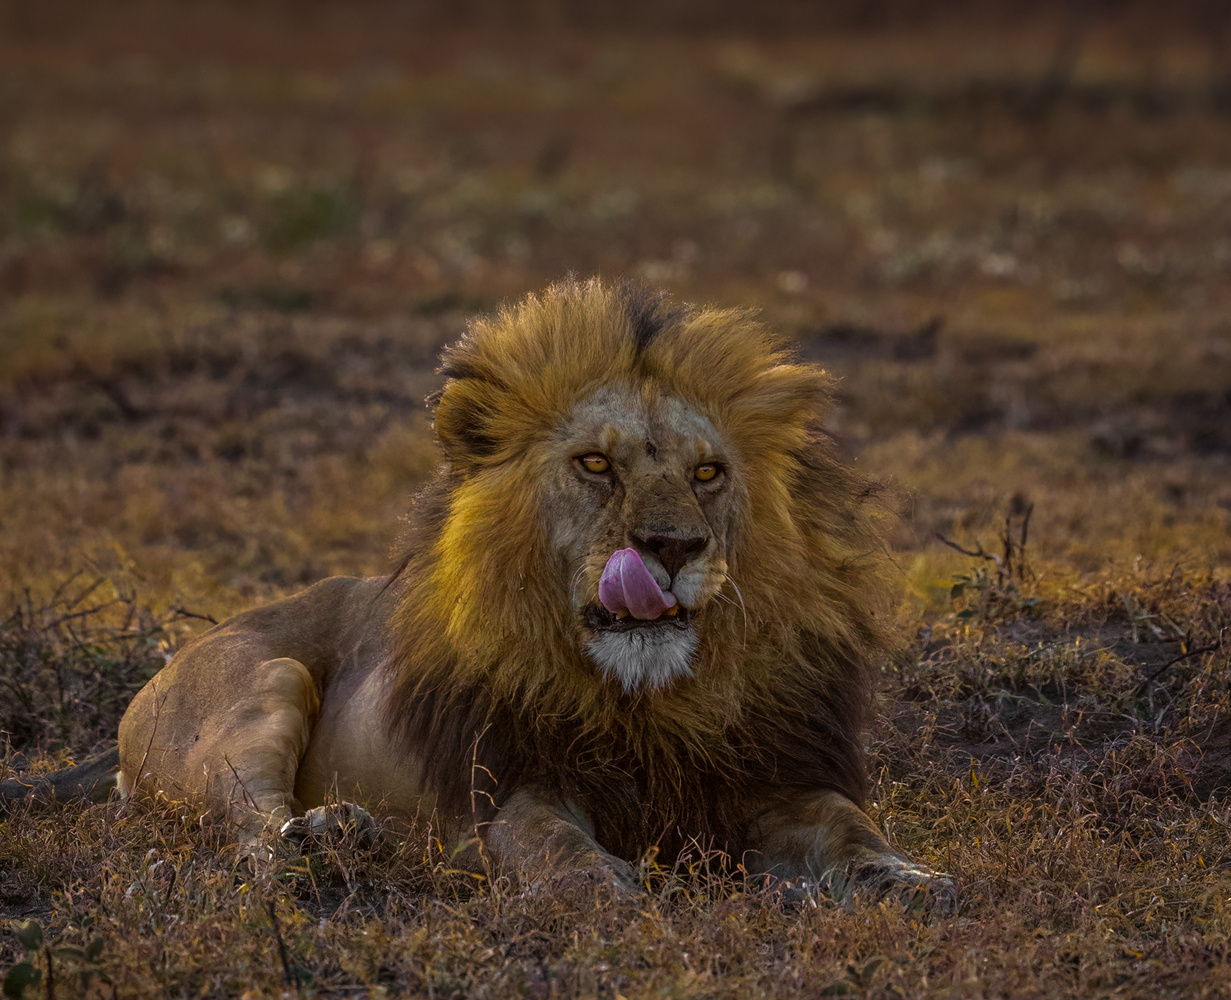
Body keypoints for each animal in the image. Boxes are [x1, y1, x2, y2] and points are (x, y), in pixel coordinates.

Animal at [6, 278, 954, 908]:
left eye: (708, 473)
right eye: (595, 465)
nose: (673, 547)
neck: (648, 700)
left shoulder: (776, 774)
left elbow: (850, 827)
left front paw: (908, 877)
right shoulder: (507, 779)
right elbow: (551, 842)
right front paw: (612, 885)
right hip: (261, 688)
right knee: (249, 838)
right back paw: (329, 848)